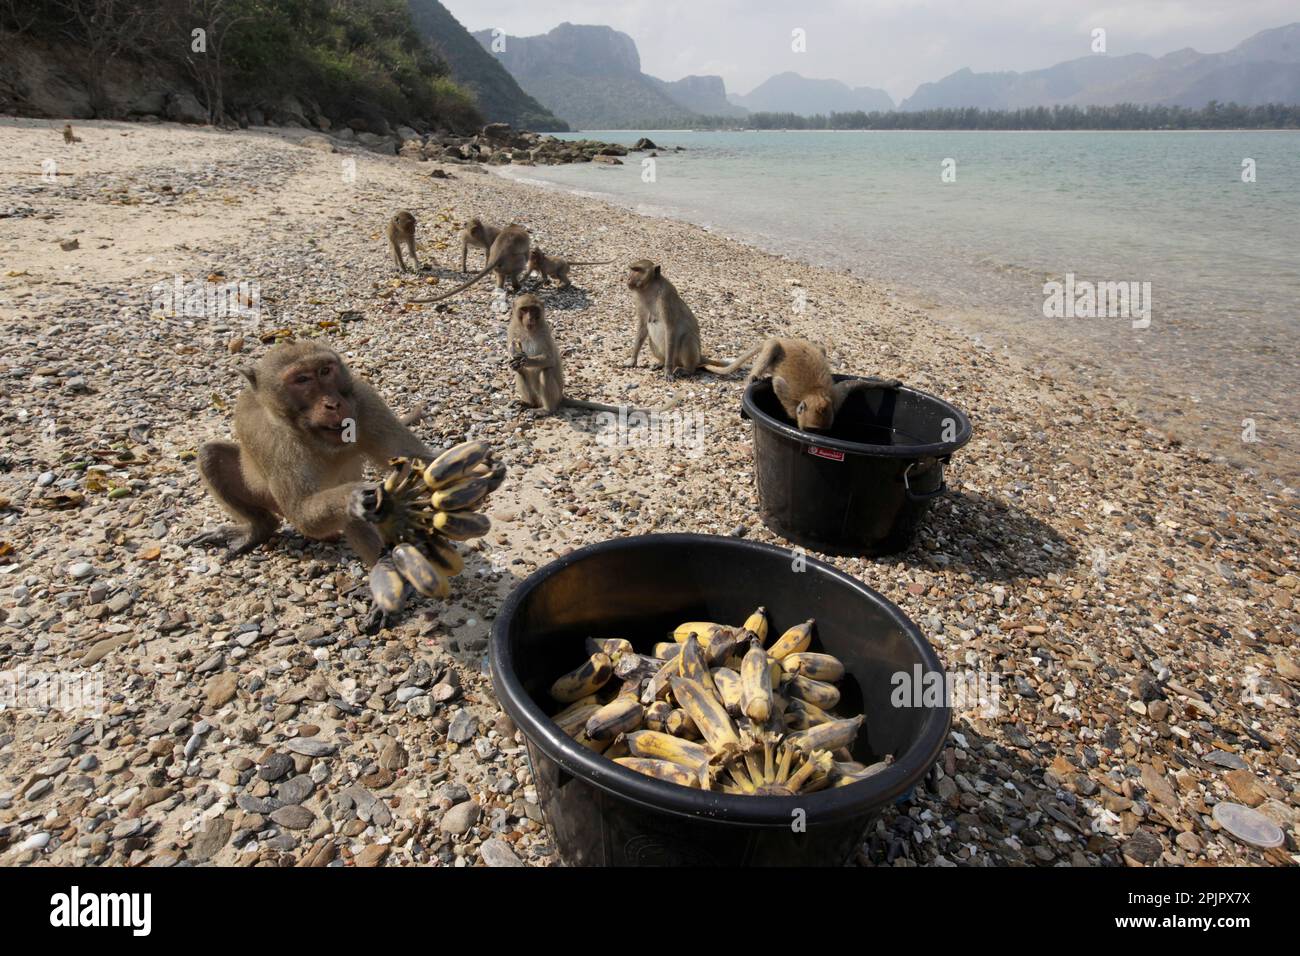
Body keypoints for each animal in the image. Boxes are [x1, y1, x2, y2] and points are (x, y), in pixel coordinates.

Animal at [187, 340, 437, 569]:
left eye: (325, 371)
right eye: (301, 380)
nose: (333, 404)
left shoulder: (365, 401)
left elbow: (414, 459)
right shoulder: (276, 442)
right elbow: (303, 515)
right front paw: (355, 497)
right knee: (210, 455)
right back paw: (260, 529)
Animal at [507, 294, 677, 416]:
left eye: (533, 309)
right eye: (524, 309)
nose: (529, 318)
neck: (529, 330)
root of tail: (560, 396)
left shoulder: (544, 332)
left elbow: (550, 359)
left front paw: (525, 359)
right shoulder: (513, 331)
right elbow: (514, 359)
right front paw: (515, 358)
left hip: (554, 396)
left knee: (546, 371)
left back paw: (546, 410)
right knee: (520, 373)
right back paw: (529, 403)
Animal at [741, 337, 901, 431]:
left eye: (820, 431)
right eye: (811, 430)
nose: (815, 434)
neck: (815, 392)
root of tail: (788, 341)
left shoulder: (835, 399)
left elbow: (851, 384)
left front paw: (888, 383)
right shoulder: (792, 402)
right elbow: (778, 383)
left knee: (821, 349)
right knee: (773, 346)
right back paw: (754, 376)